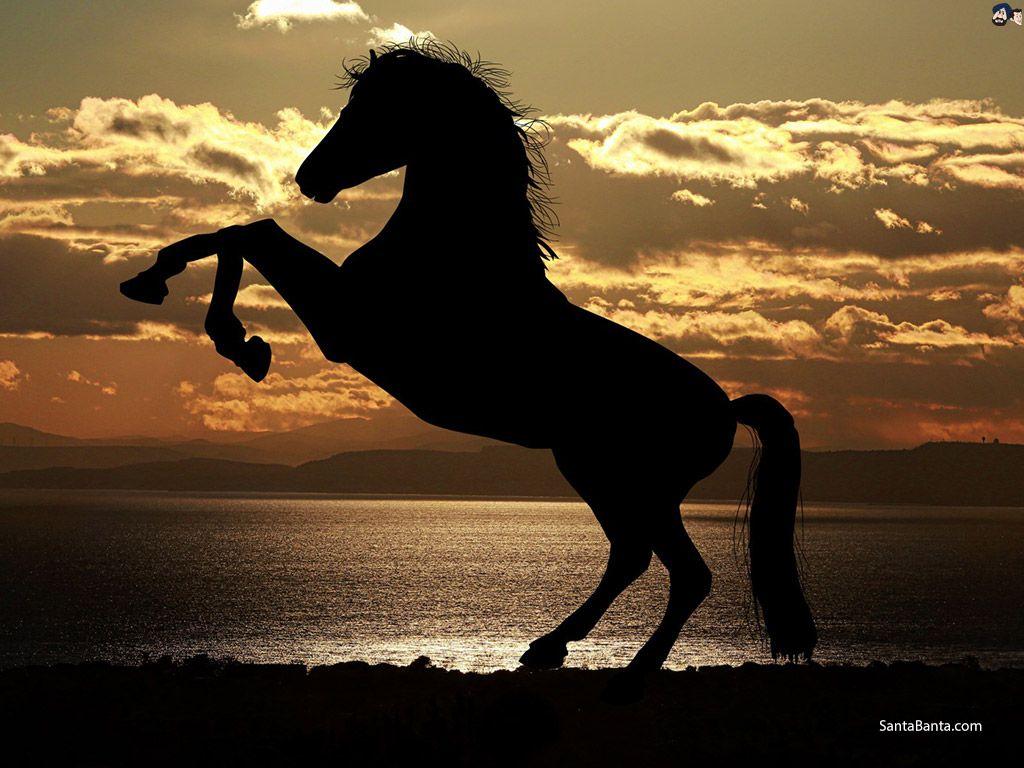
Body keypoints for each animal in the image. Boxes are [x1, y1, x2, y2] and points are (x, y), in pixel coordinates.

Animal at [120, 41, 816, 698]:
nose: (309, 176)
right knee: (632, 557)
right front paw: (164, 289)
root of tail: (725, 409)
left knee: (684, 574)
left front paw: (232, 336)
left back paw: (626, 679)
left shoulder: (346, 325)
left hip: (632, 483)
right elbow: (240, 232)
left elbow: (251, 233)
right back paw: (547, 649)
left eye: (374, 107)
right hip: (598, 474)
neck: (455, 253)